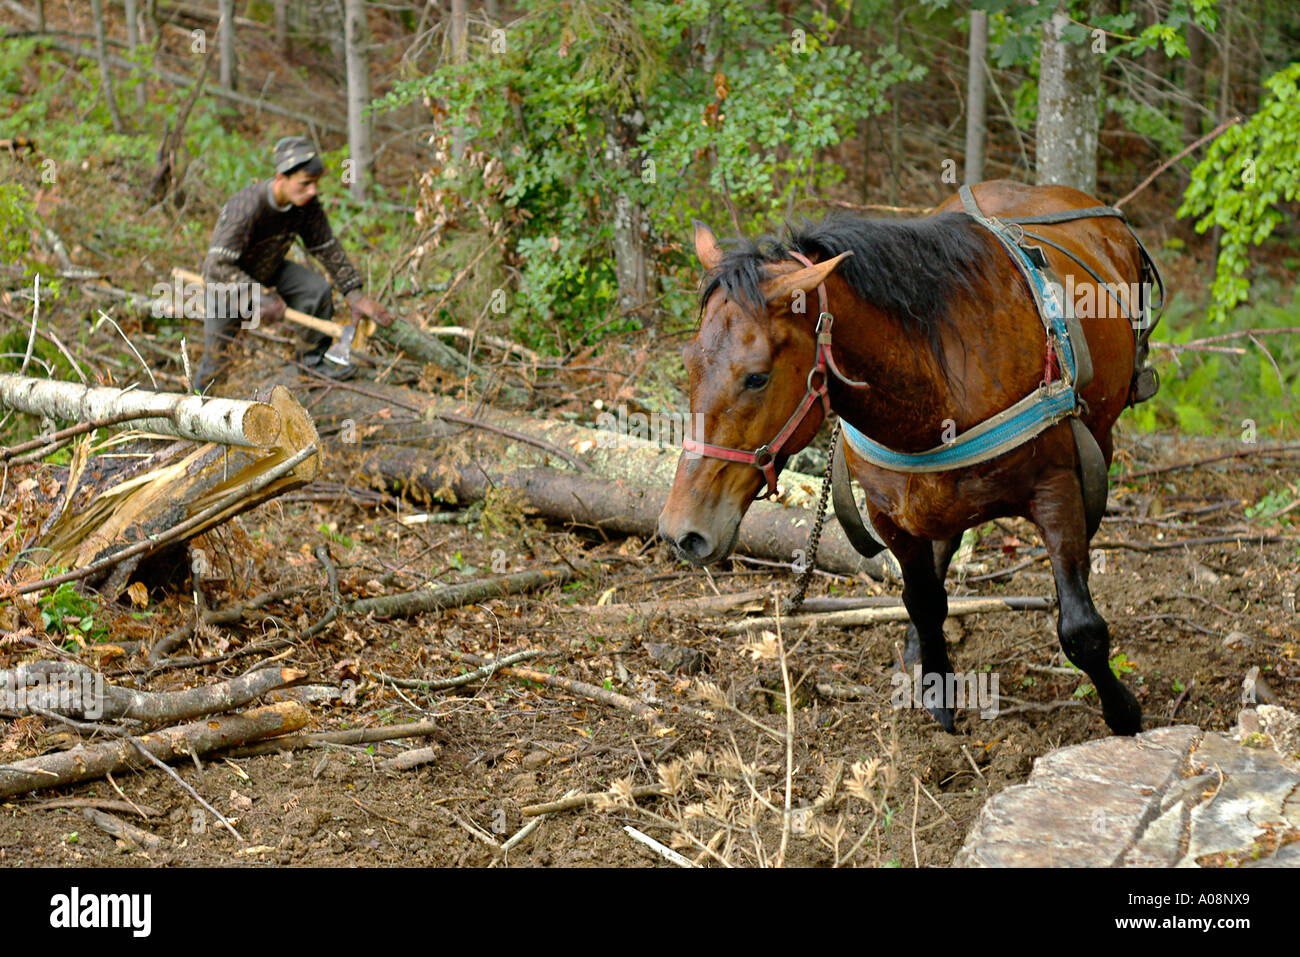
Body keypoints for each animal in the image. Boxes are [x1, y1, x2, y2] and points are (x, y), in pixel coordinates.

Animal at [658, 180, 1162, 736]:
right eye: (688, 363)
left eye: (756, 377)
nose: (683, 532)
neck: (937, 381)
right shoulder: (889, 512)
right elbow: (923, 602)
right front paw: (938, 691)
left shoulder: (1057, 488)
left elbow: (1081, 628)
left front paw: (1124, 714)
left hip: (1101, 435)